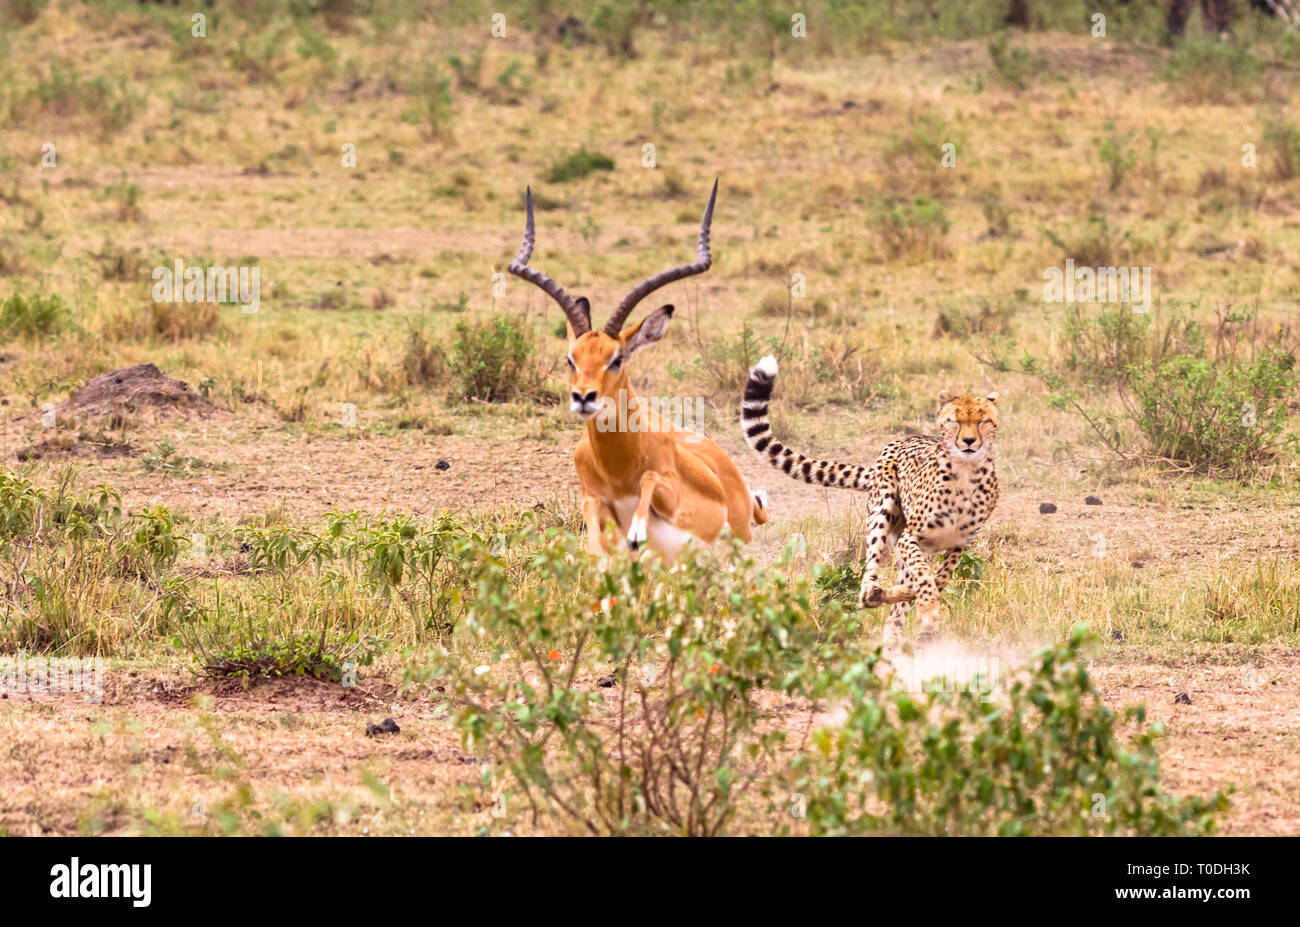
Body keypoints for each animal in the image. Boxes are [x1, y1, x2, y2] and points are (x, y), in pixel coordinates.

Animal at [506, 180, 768, 557]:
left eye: (616, 358)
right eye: (571, 359)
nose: (583, 397)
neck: (618, 467)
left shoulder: (669, 494)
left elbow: (649, 478)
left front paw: (637, 532)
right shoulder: (592, 497)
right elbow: (594, 524)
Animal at [741, 354, 1000, 653]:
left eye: (982, 421)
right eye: (955, 421)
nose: (968, 441)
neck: (966, 474)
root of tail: (900, 440)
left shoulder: (957, 543)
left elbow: (939, 577)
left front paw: (918, 603)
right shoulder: (911, 538)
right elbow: (925, 578)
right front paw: (926, 608)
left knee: (899, 596)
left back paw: (894, 629)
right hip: (884, 511)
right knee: (869, 579)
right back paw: (876, 596)